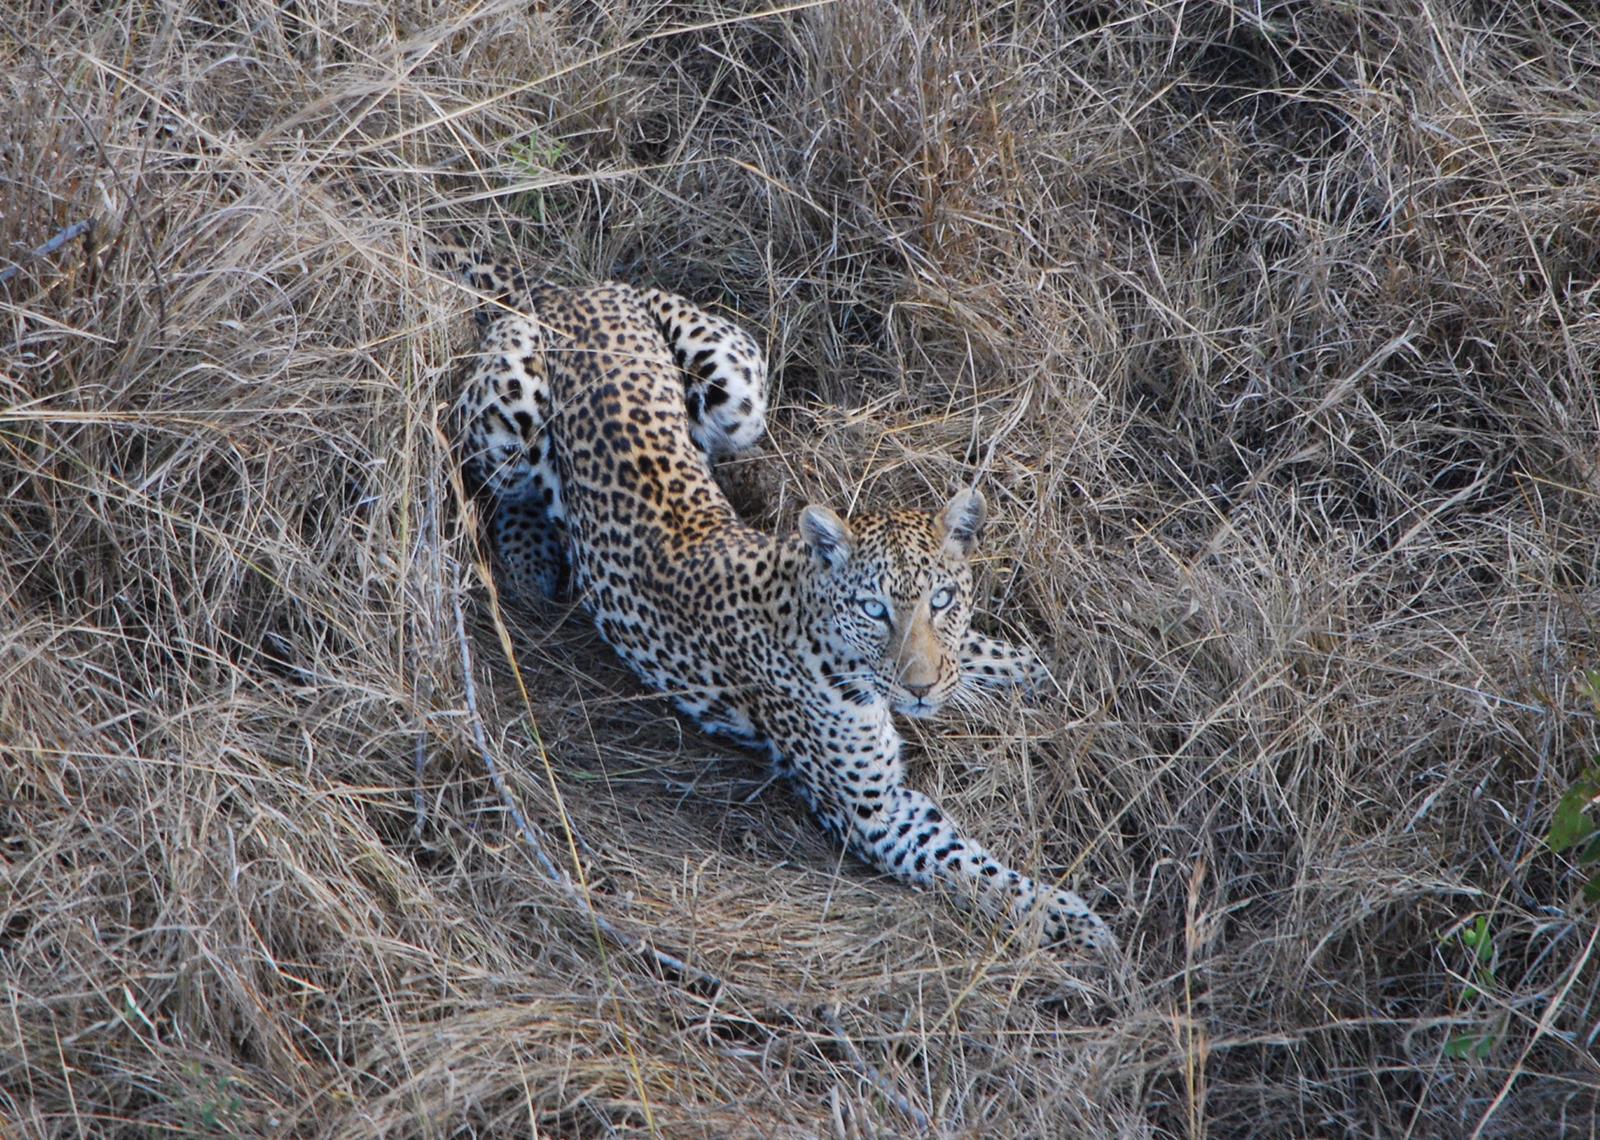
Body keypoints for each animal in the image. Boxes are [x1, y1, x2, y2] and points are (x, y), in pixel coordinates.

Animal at [439, 243, 1114, 954]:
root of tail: (573, 292)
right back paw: (530, 557)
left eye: (942, 600)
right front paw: (1071, 921)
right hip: (506, 419)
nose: (922, 689)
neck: (811, 615)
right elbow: (977, 870)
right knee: (500, 487)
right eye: (874, 610)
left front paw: (1063, 683)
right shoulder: (875, 812)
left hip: (737, 389)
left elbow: (994, 655)